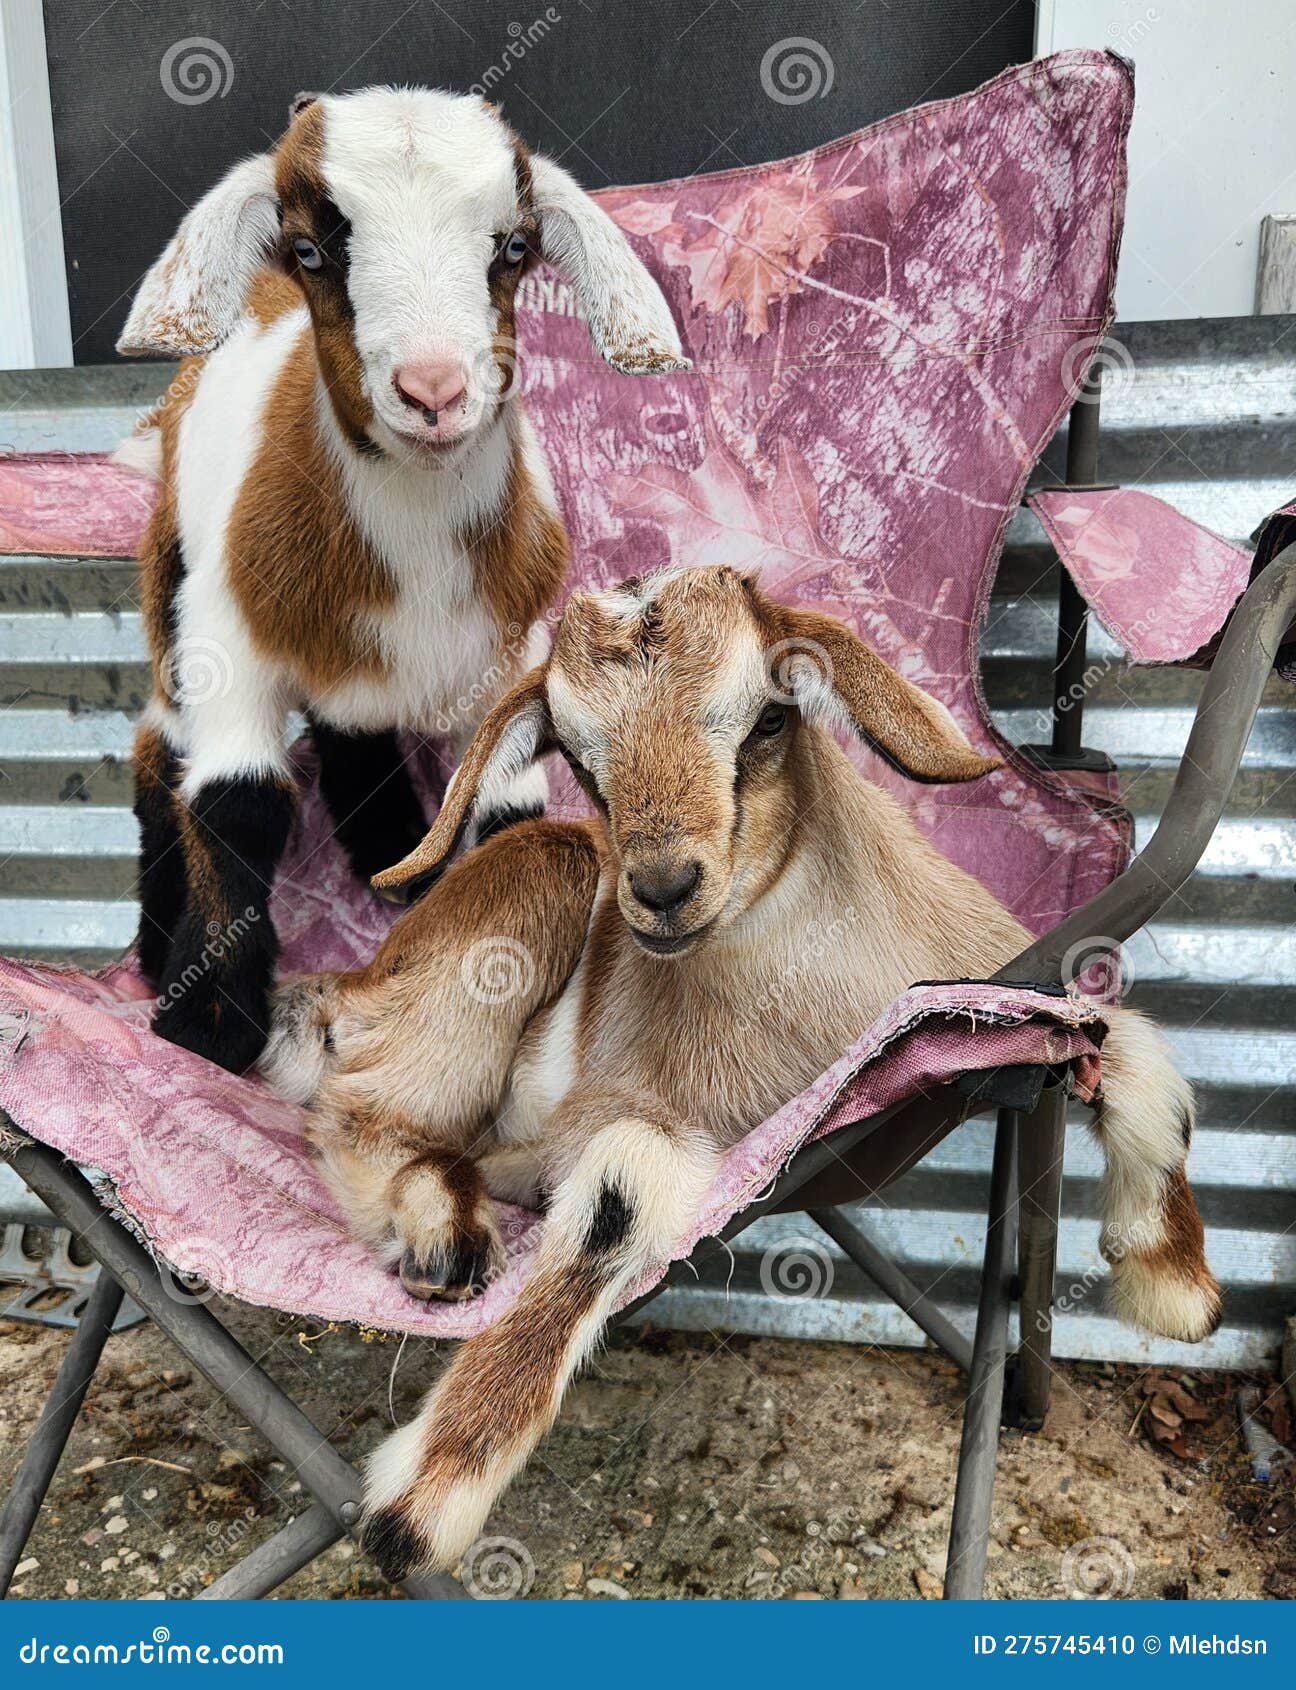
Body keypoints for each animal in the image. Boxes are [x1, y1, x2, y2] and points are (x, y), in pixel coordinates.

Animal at [114, 85, 687, 1072]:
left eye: (513, 247)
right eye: (314, 249)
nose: (433, 390)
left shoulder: (509, 658)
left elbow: (511, 815)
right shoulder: (232, 648)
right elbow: (237, 805)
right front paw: (210, 1022)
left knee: (351, 726)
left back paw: (387, 855)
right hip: (172, 592)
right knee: (159, 748)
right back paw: (156, 943)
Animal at [260, 563, 1220, 1579]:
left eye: (765, 718)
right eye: (578, 758)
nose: (661, 891)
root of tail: (357, 979)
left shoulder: (1002, 996)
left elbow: (1136, 1050)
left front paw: (1176, 1288)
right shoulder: (626, 1101)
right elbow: (617, 1202)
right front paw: (421, 1502)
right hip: (517, 905)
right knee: (361, 1114)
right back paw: (444, 1237)